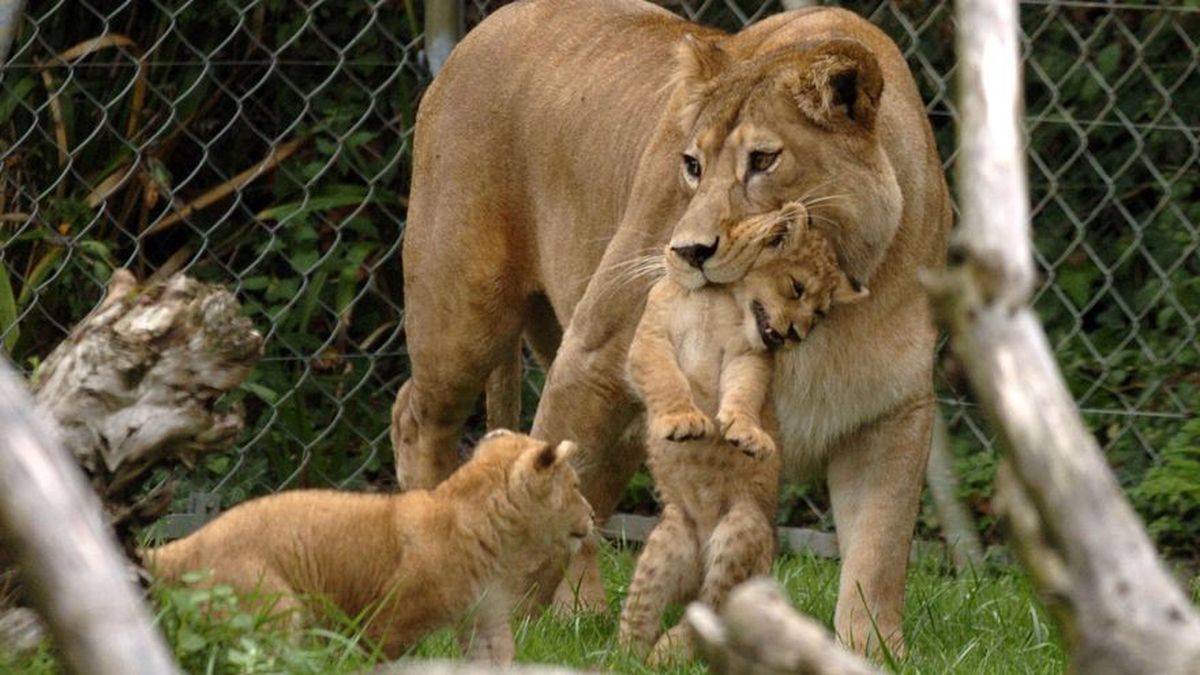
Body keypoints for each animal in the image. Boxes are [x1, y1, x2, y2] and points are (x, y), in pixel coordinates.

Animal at [142, 431, 594, 664]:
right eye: (575, 487)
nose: (592, 513)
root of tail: (190, 542)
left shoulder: (486, 621)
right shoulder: (386, 626)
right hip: (273, 611)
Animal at [620, 203, 869, 662]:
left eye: (820, 313)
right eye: (796, 288)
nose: (794, 336)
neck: (712, 298)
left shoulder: (746, 355)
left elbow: (743, 393)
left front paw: (746, 434)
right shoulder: (649, 339)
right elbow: (664, 378)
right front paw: (681, 420)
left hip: (742, 527)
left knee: (714, 606)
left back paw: (669, 651)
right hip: (663, 546)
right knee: (645, 607)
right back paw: (627, 657)